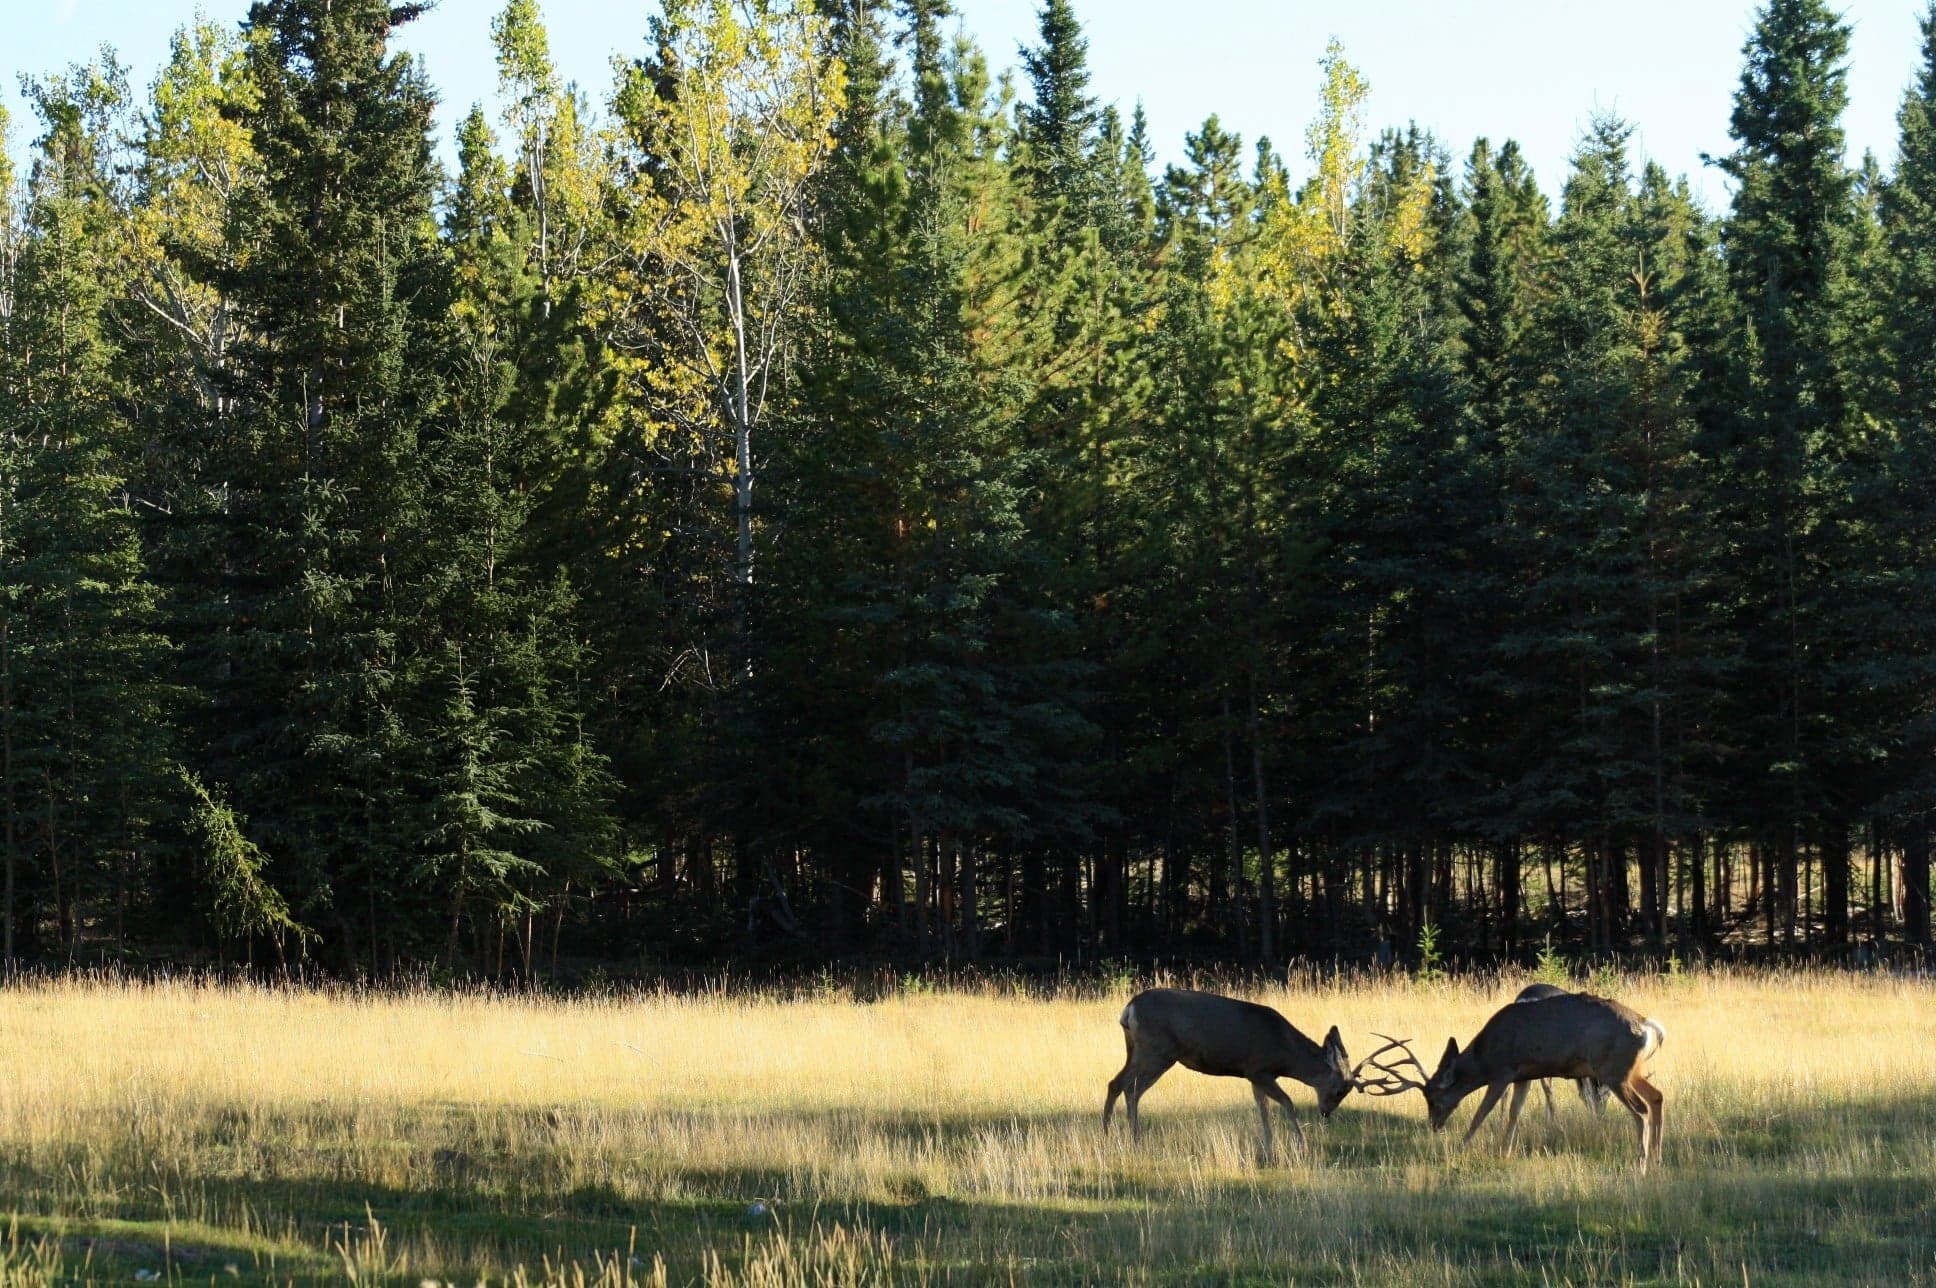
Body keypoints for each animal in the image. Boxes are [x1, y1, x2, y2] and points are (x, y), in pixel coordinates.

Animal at [1102, 988, 1384, 1161]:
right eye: (1339, 1090)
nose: (1325, 1113)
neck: (1285, 1051)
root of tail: (1129, 1009)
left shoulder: (1254, 1076)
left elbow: (1263, 1107)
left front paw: (1269, 1148)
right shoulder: (1259, 1069)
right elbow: (1286, 1102)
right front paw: (1301, 1145)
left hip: (1137, 1048)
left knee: (1118, 1084)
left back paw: (1110, 1135)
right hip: (1157, 1051)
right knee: (1130, 1087)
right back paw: (1133, 1140)